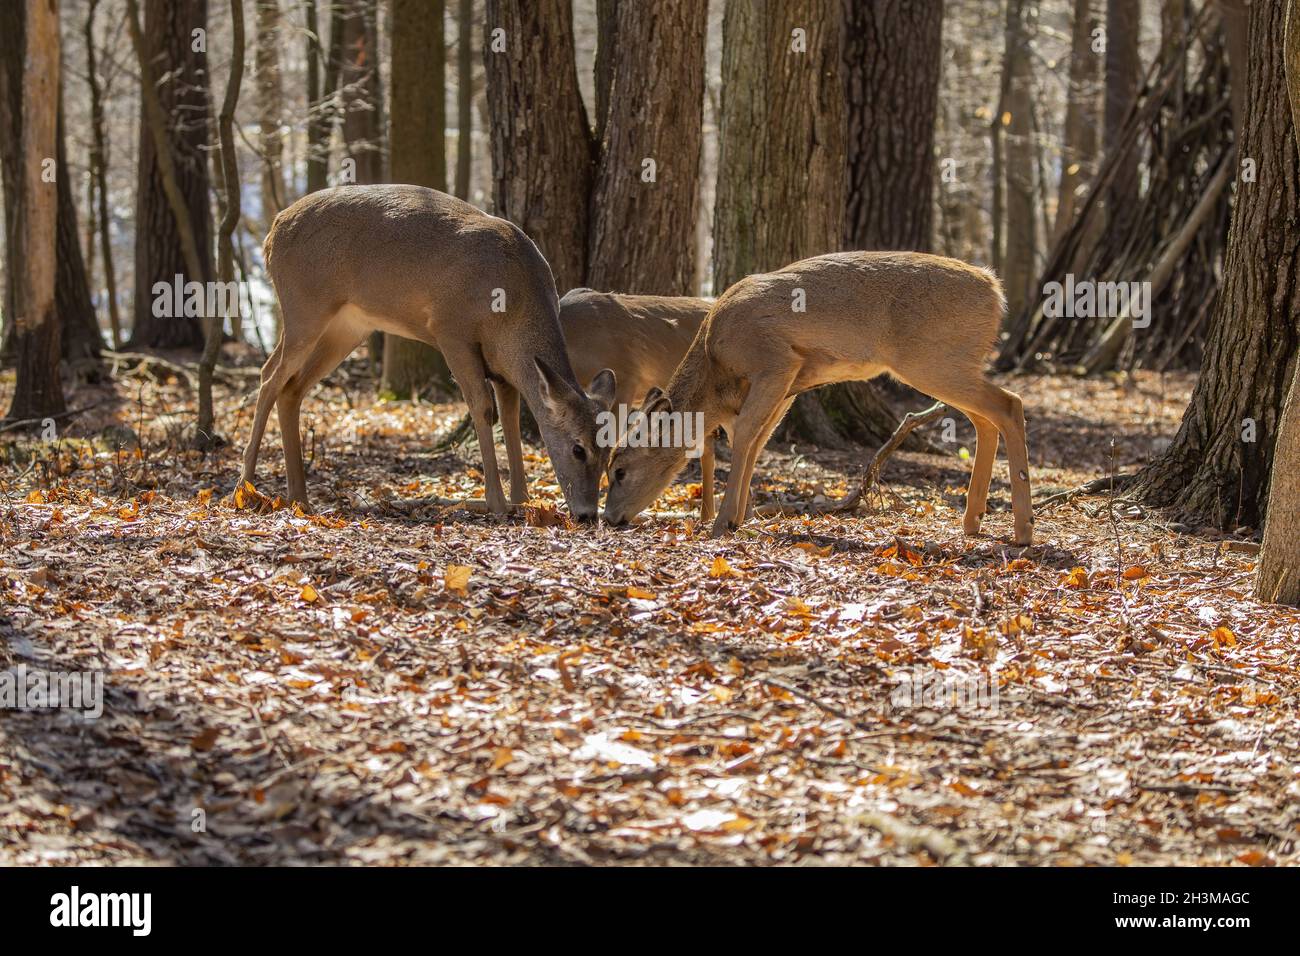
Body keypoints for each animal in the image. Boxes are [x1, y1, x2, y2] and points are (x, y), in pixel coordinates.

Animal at [240, 185, 617, 520]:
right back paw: (245, 487)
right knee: (269, 375)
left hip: (348, 327)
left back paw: (298, 496)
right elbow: (483, 409)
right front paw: (496, 504)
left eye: (608, 451)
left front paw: (522, 499)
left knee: (291, 387)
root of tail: (272, 232)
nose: (587, 515)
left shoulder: (503, 367)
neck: (511, 312)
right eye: (578, 448)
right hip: (304, 306)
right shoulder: (450, 330)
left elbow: (510, 418)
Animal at [602, 251, 1034, 545]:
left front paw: (723, 523)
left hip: (931, 359)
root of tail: (994, 289)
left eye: (620, 469)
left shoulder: (776, 361)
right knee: (985, 419)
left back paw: (1023, 529)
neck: (715, 368)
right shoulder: (792, 384)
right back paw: (973, 521)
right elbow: (755, 442)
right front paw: (742, 517)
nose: (609, 518)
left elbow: (745, 437)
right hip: (948, 362)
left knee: (1009, 404)